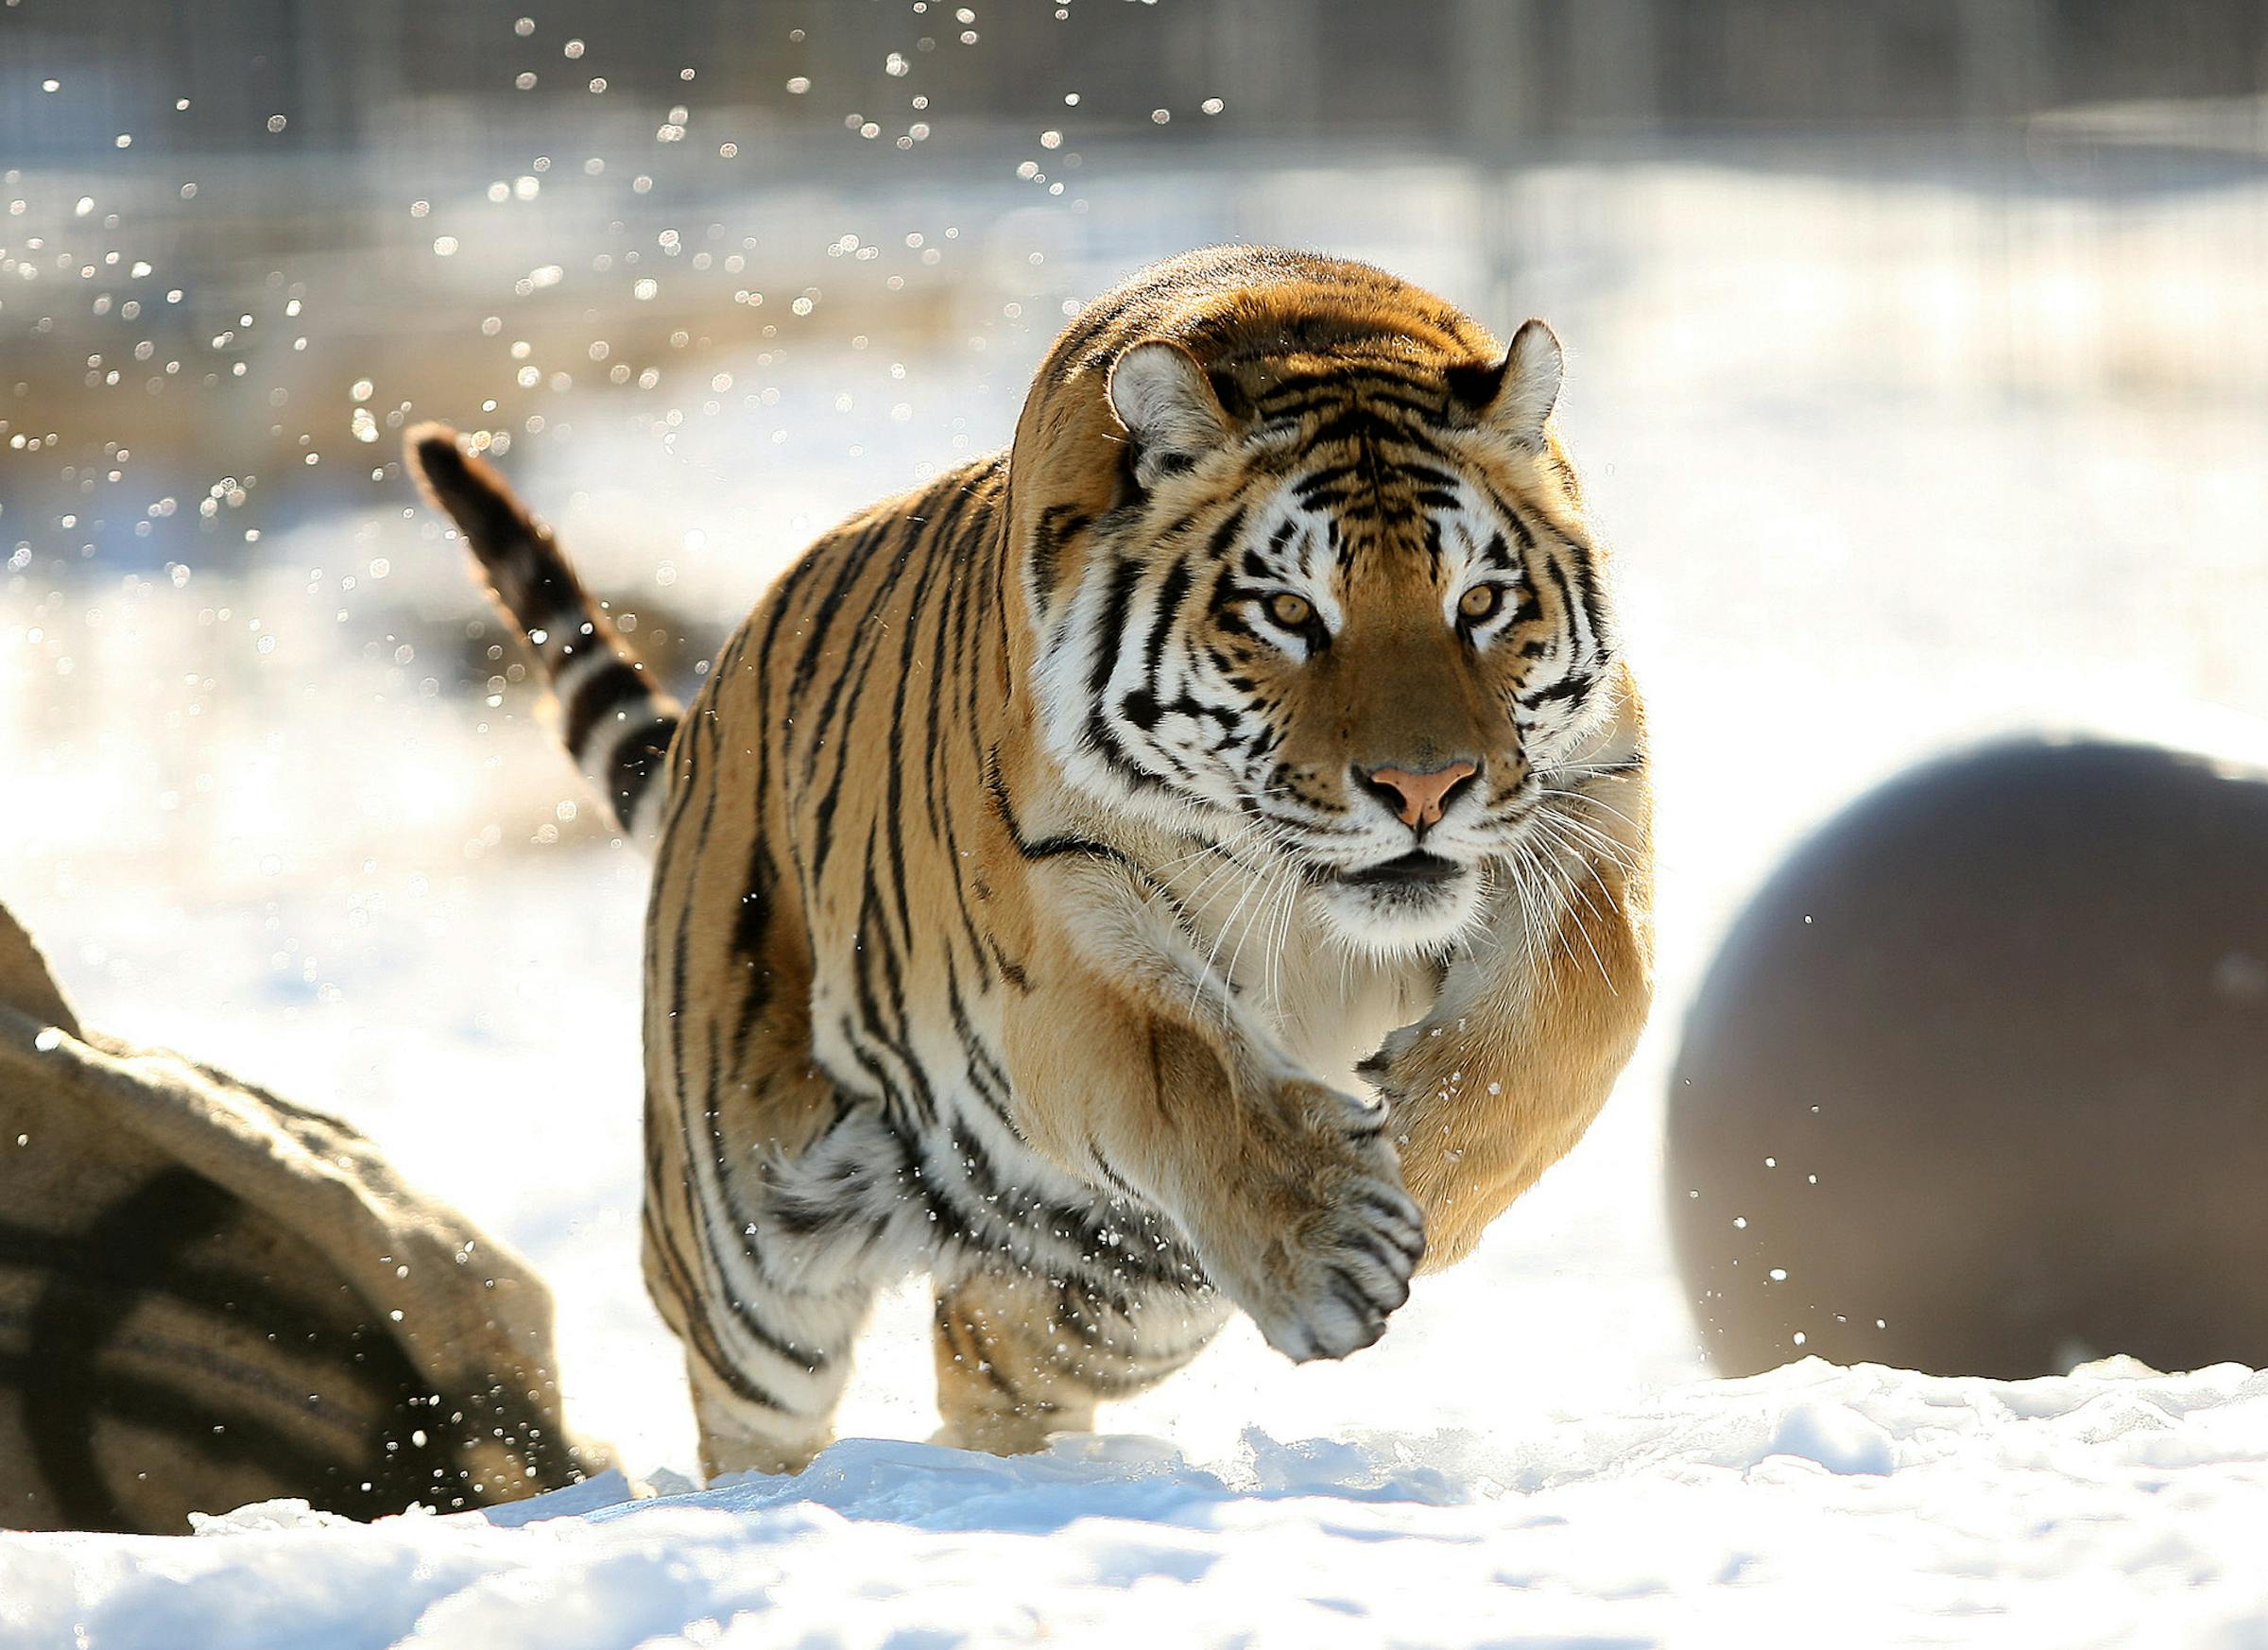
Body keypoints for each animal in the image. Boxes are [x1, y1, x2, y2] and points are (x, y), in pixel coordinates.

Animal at [407, 244, 1654, 1478]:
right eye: (1291, 613)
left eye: (1480, 600)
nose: (1424, 790)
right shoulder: (1051, 916)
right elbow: (1180, 1062)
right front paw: (1333, 1243)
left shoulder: (1592, 800)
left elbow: (1579, 1012)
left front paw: (1422, 1162)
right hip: (744, 1242)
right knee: (760, 1406)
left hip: (1102, 1294)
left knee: (995, 1348)